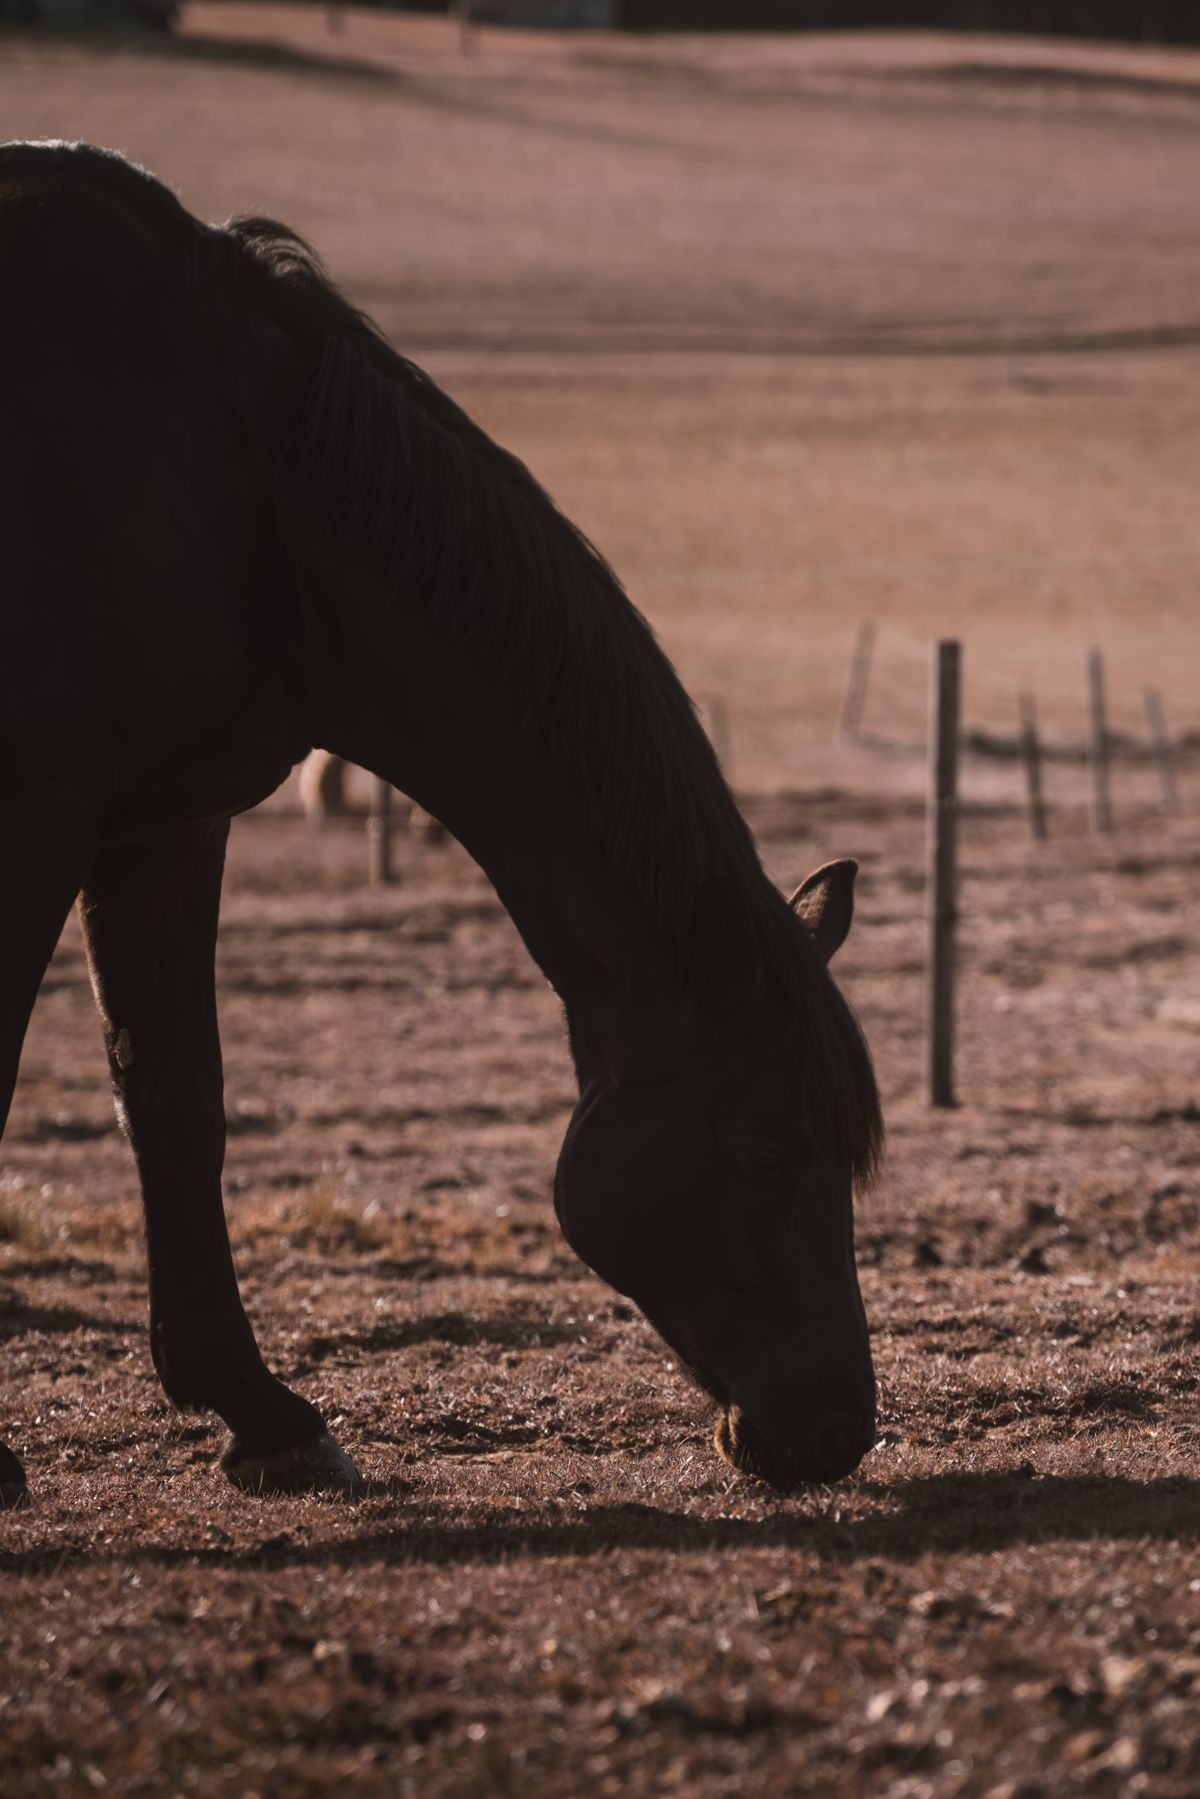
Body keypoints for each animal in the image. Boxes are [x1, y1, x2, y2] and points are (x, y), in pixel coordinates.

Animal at [0, 141, 882, 1508]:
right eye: (769, 1145)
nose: (843, 1428)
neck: (234, 474)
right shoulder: (39, 816)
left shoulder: (165, 825)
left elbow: (178, 1100)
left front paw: (258, 1409)